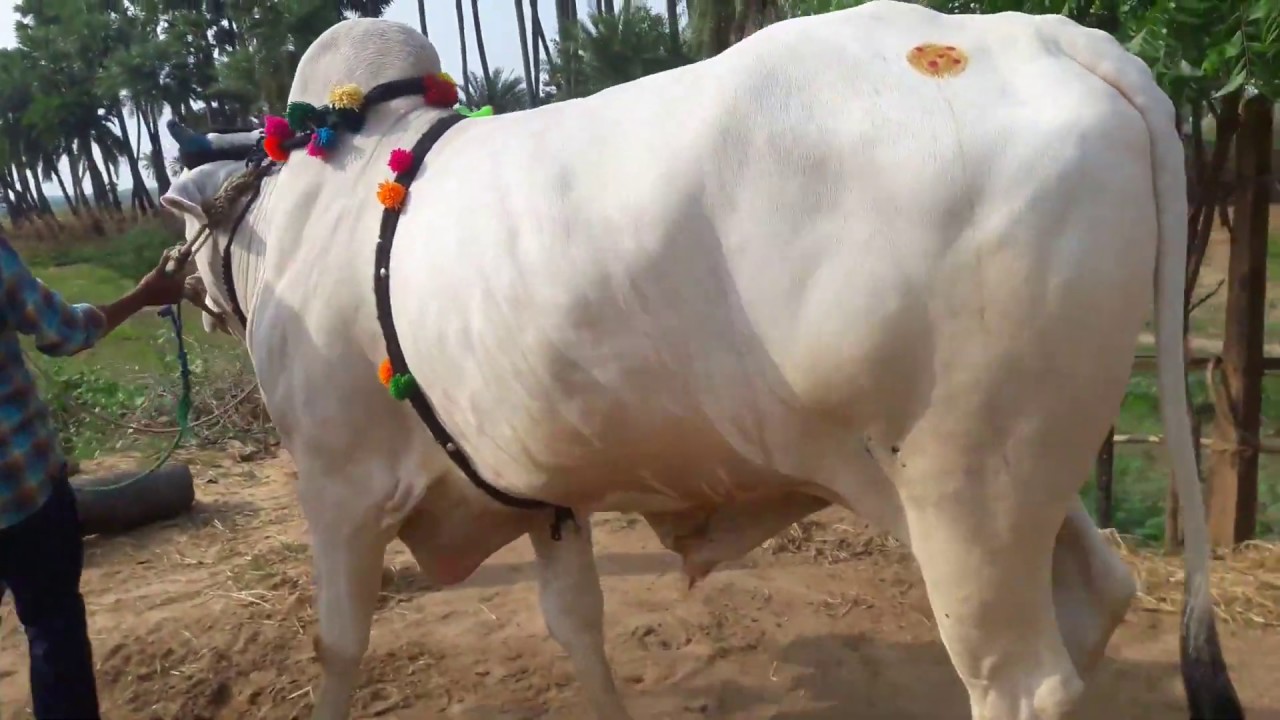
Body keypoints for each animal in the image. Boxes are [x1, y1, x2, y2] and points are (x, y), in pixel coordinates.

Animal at [158, 2, 1244, 719]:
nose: (188, 290)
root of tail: (1047, 36)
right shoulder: (545, 490)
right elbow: (577, 630)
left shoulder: (337, 486)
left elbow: (337, 644)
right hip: (1016, 468)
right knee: (1098, 592)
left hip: (962, 490)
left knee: (1022, 683)